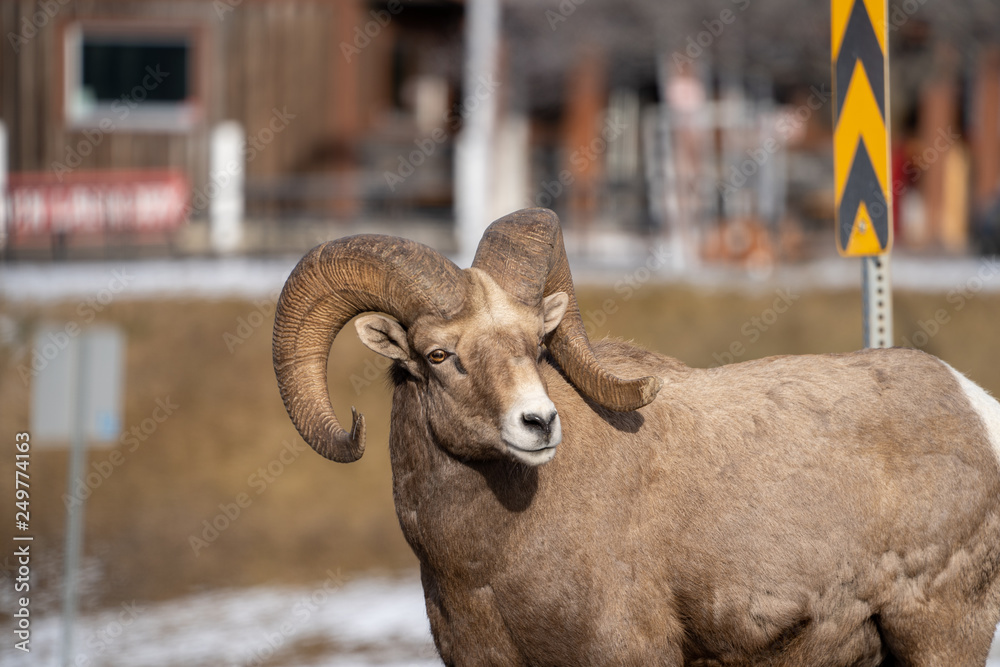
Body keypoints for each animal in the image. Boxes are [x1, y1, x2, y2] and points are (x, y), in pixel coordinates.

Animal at [272, 208, 1000, 666]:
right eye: (437, 354)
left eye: (536, 344)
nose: (539, 424)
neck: (486, 567)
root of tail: (976, 407)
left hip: (941, 633)